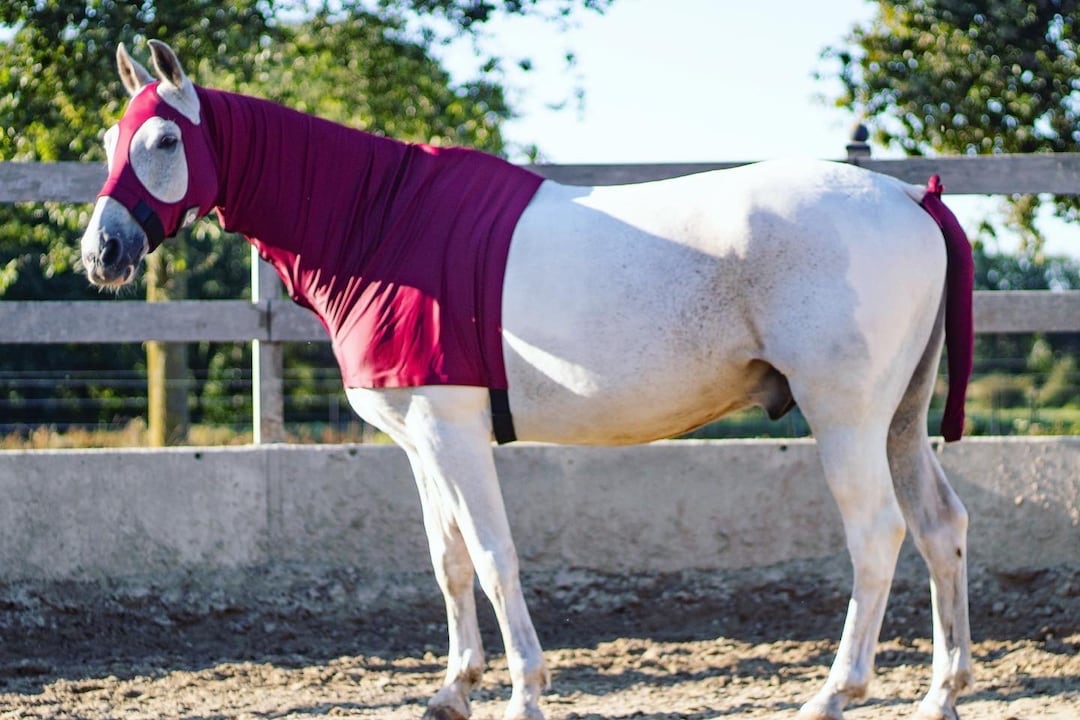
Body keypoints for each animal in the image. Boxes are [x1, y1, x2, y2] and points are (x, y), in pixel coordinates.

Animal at [80, 40, 974, 720]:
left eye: (163, 142)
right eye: (110, 139)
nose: (102, 252)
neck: (384, 227)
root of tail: (911, 197)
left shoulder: (456, 432)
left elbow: (493, 552)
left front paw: (525, 693)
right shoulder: (421, 442)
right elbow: (448, 559)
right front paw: (452, 689)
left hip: (846, 418)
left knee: (877, 534)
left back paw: (835, 693)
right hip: (900, 419)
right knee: (940, 525)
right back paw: (941, 693)